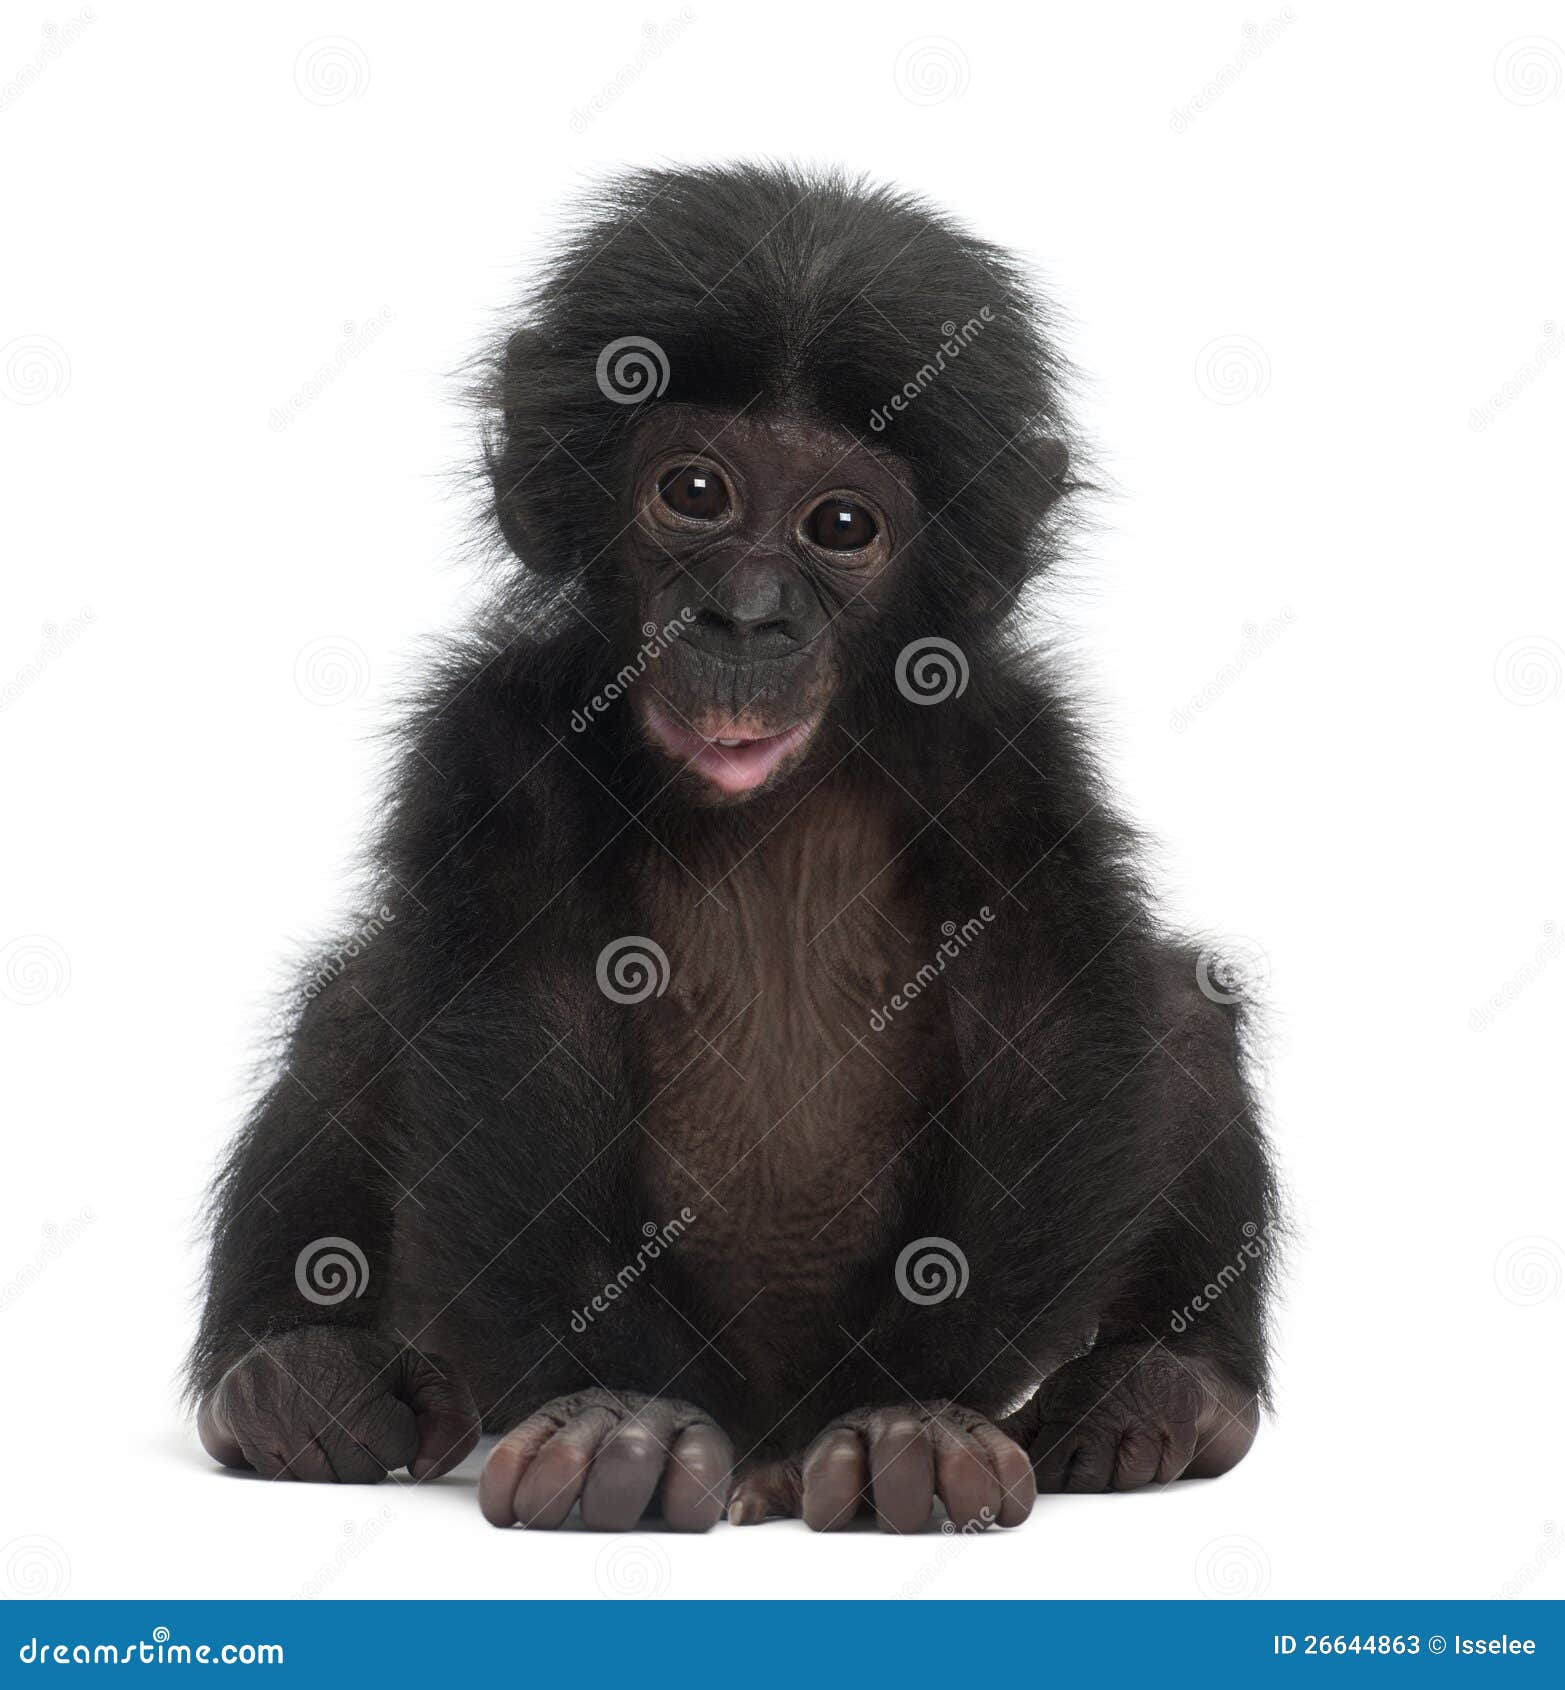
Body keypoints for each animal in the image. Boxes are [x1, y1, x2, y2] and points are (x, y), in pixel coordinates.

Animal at [190, 162, 1278, 1534]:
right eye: (694, 494)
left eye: (841, 524)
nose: (747, 616)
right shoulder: (490, 735)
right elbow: (510, 1031)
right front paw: (623, 1423)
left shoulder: (1013, 752)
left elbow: (1051, 1025)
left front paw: (910, 1426)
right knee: (356, 999)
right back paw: (294, 1377)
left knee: (1178, 1006)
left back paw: (1164, 1391)